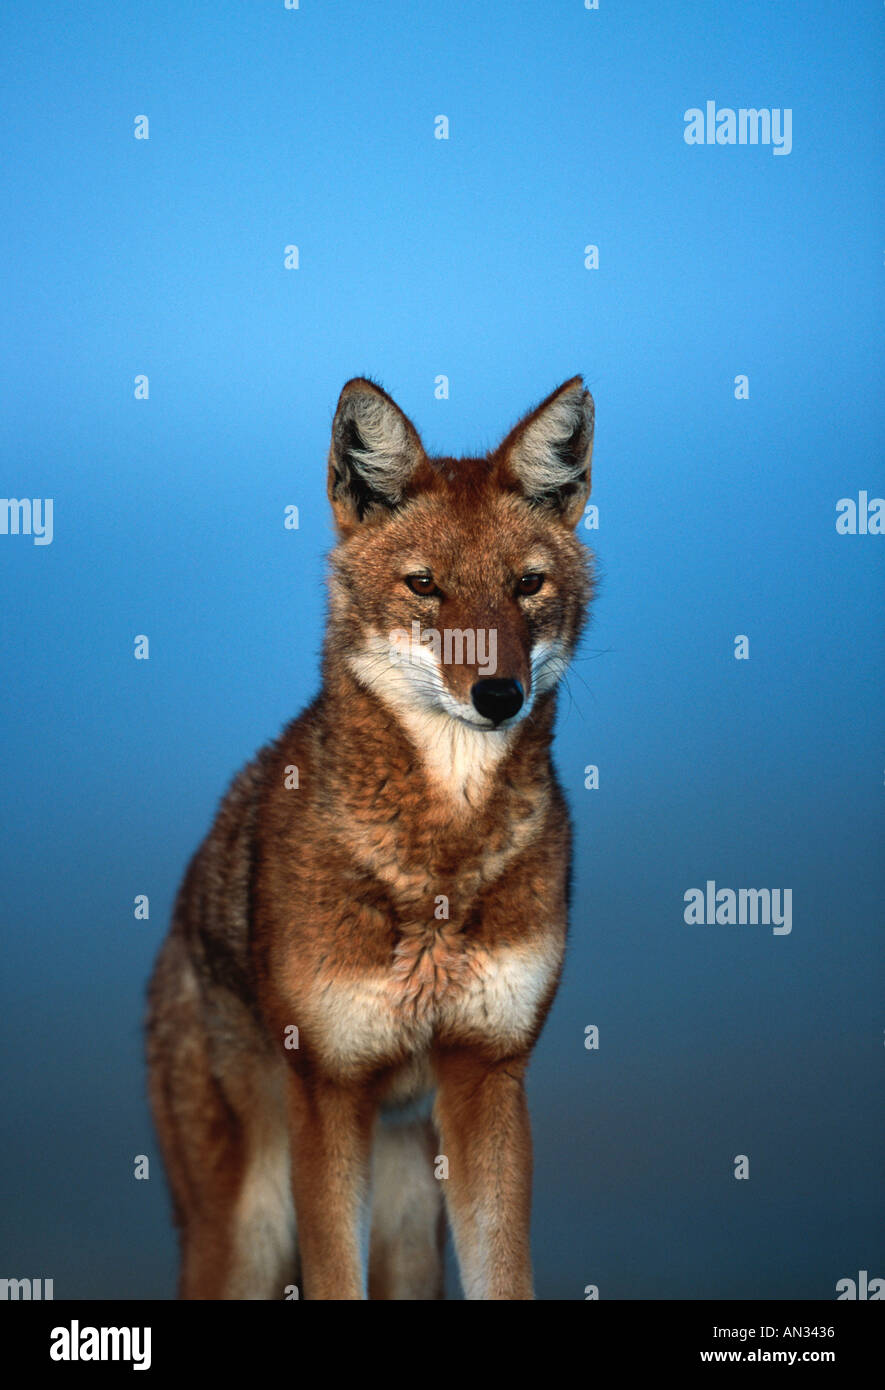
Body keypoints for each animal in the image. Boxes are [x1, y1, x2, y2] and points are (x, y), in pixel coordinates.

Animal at [146, 375, 596, 1299]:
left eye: (526, 585)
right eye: (425, 586)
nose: (498, 694)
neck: (439, 862)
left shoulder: (489, 1077)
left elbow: (506, 1275)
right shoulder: (327, 1089)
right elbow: (331, 1277)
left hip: (411, 1215)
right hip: (247, 1229)